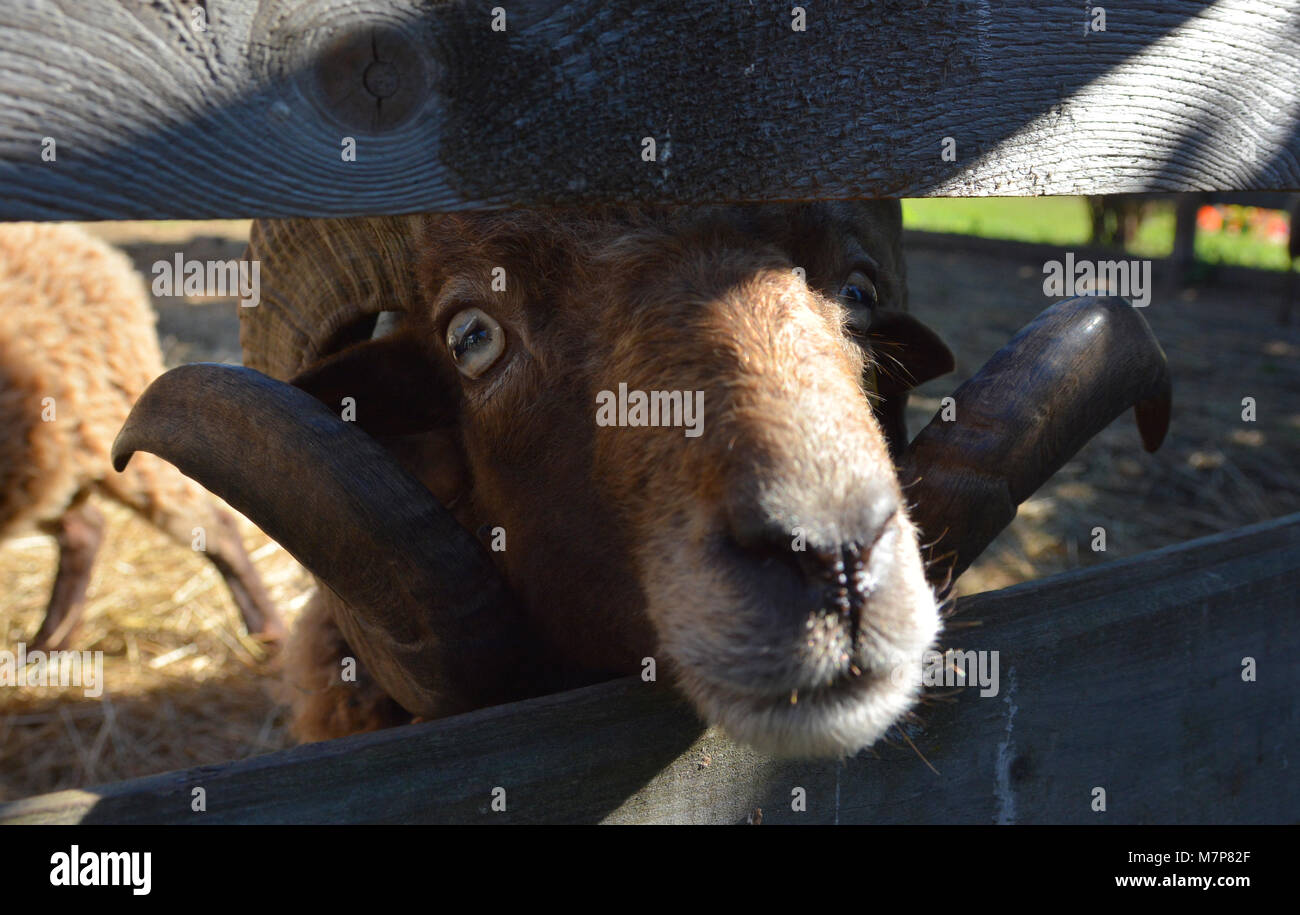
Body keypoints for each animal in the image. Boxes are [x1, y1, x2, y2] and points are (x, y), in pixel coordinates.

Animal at [0, 222, 283, 650]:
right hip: (48, 462)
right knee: (84, 529)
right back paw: (49, 645)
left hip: (118, 425)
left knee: (213, 524)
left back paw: (269, 631)